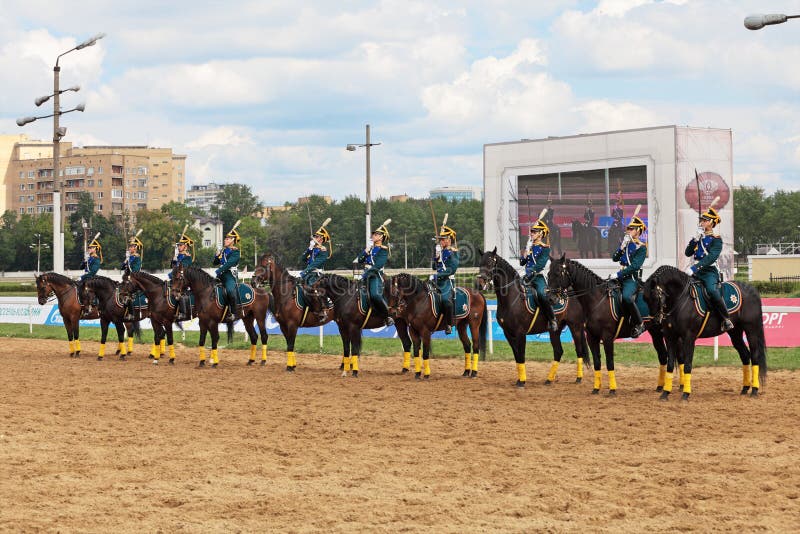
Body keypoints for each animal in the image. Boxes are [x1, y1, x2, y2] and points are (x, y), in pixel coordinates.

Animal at [476, 248, 589, 388]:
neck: (512, 297)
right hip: (555, 330)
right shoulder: (508, 333)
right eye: (480, 263)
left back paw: (578, 378)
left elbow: (521, 355)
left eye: (490, 262)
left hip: (575, 327)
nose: (479, 283)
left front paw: (522, 381)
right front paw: (519, 379)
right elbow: (517, 355)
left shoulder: (520, 333)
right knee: (558, 351)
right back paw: (549, 379)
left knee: (579, 350)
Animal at [547, 255, 671, 395]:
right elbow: (597, 362)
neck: (596, 300)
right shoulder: (591, 337)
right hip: (655, 333)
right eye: (548, 274)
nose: (550, 298)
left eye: (558, 273)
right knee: (663, 355)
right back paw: (660, 386)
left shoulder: (607, 337)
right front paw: (596, 388)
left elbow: (609, 362)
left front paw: (612, 389)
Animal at [643, 265, 767, 400]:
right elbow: (670, 364)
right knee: (745, 355)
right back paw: (745, 388)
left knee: (755, 356)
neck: (681, 299)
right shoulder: (670, 337)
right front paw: (665, 393)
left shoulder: (689, 337)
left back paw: (754, 390)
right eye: (645, 299)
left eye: (655, 297)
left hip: (751, 330)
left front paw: (685, 394)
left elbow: (687, 364)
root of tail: (752, 289)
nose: (655, 321)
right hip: (735, 333)